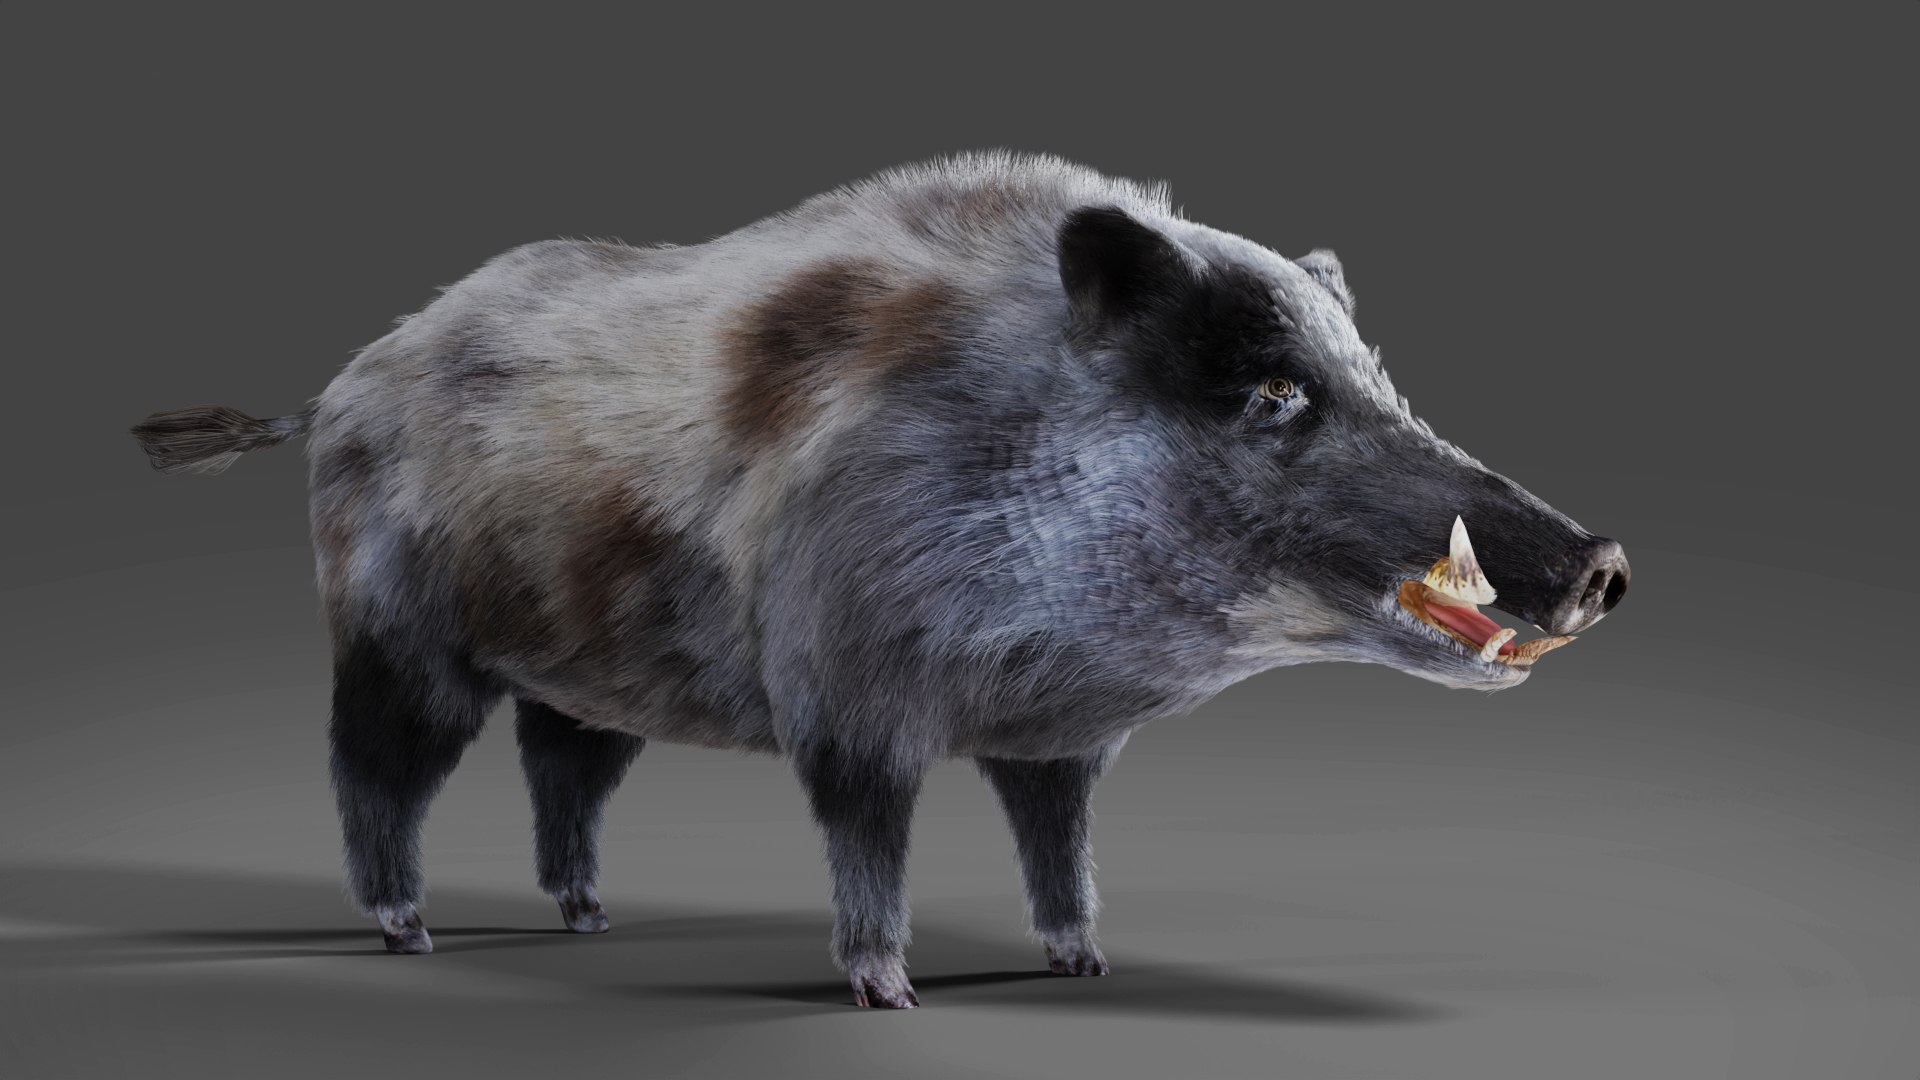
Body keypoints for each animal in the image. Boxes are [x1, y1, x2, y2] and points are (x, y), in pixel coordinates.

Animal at [131, 150, 1628, 1008]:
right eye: (1270, 392)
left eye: (1379, 377)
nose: (1604, 560)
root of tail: (342, 383)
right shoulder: (846, 684)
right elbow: (867, 827)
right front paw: (888, 993)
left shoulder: (1057, 739)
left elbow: (1060, 840)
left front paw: (1081, 966)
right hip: (394, 630)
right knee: (374, 765)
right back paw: (410, 936)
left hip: (585, 673)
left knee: (564, 765)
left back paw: (587, 918)